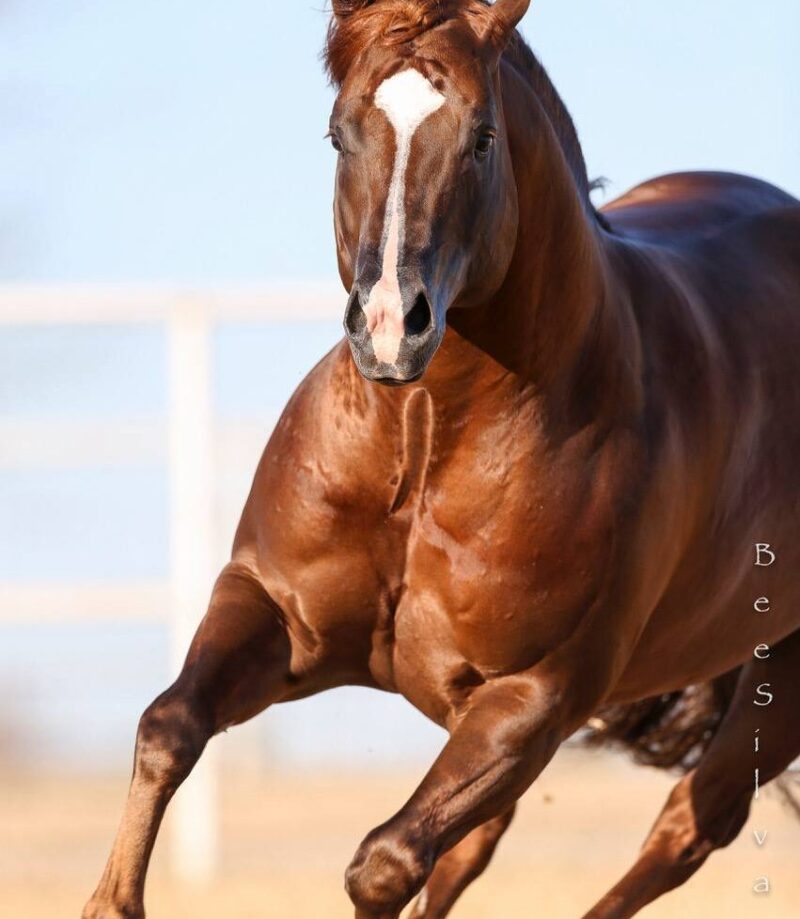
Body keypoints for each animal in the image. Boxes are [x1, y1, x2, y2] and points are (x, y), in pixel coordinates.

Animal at [83, 2, 800, 917]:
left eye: (482, 136)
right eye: (338, 132)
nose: (392, 327)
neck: (424, 446)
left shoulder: (534, 696)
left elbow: (385, 859)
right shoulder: (273, 609)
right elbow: (167, 727)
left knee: (688, 823)